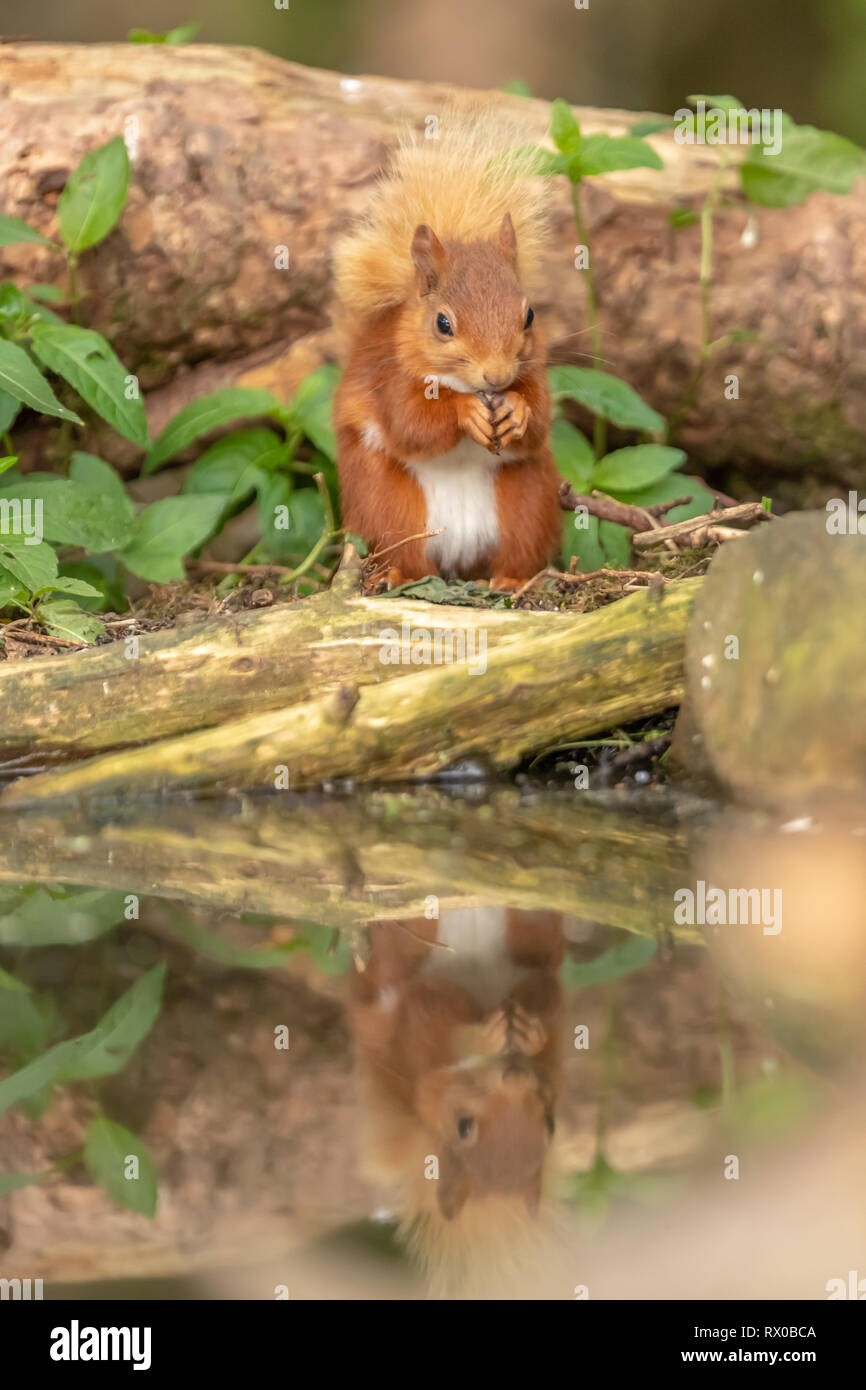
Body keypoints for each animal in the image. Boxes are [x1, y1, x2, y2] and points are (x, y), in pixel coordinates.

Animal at [332, 111, 562, 590]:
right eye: (443, 324)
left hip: (527, 500)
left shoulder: (534, 373)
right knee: (405, 553)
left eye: (530, 315)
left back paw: (513, 582)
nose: (497, 376)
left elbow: (540, 420)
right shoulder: (390, 378)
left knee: (517, 552)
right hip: (388, 506)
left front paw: (516, 409)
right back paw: (399, 575)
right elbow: (411, 424)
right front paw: (464, 412)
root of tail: (458, 559)